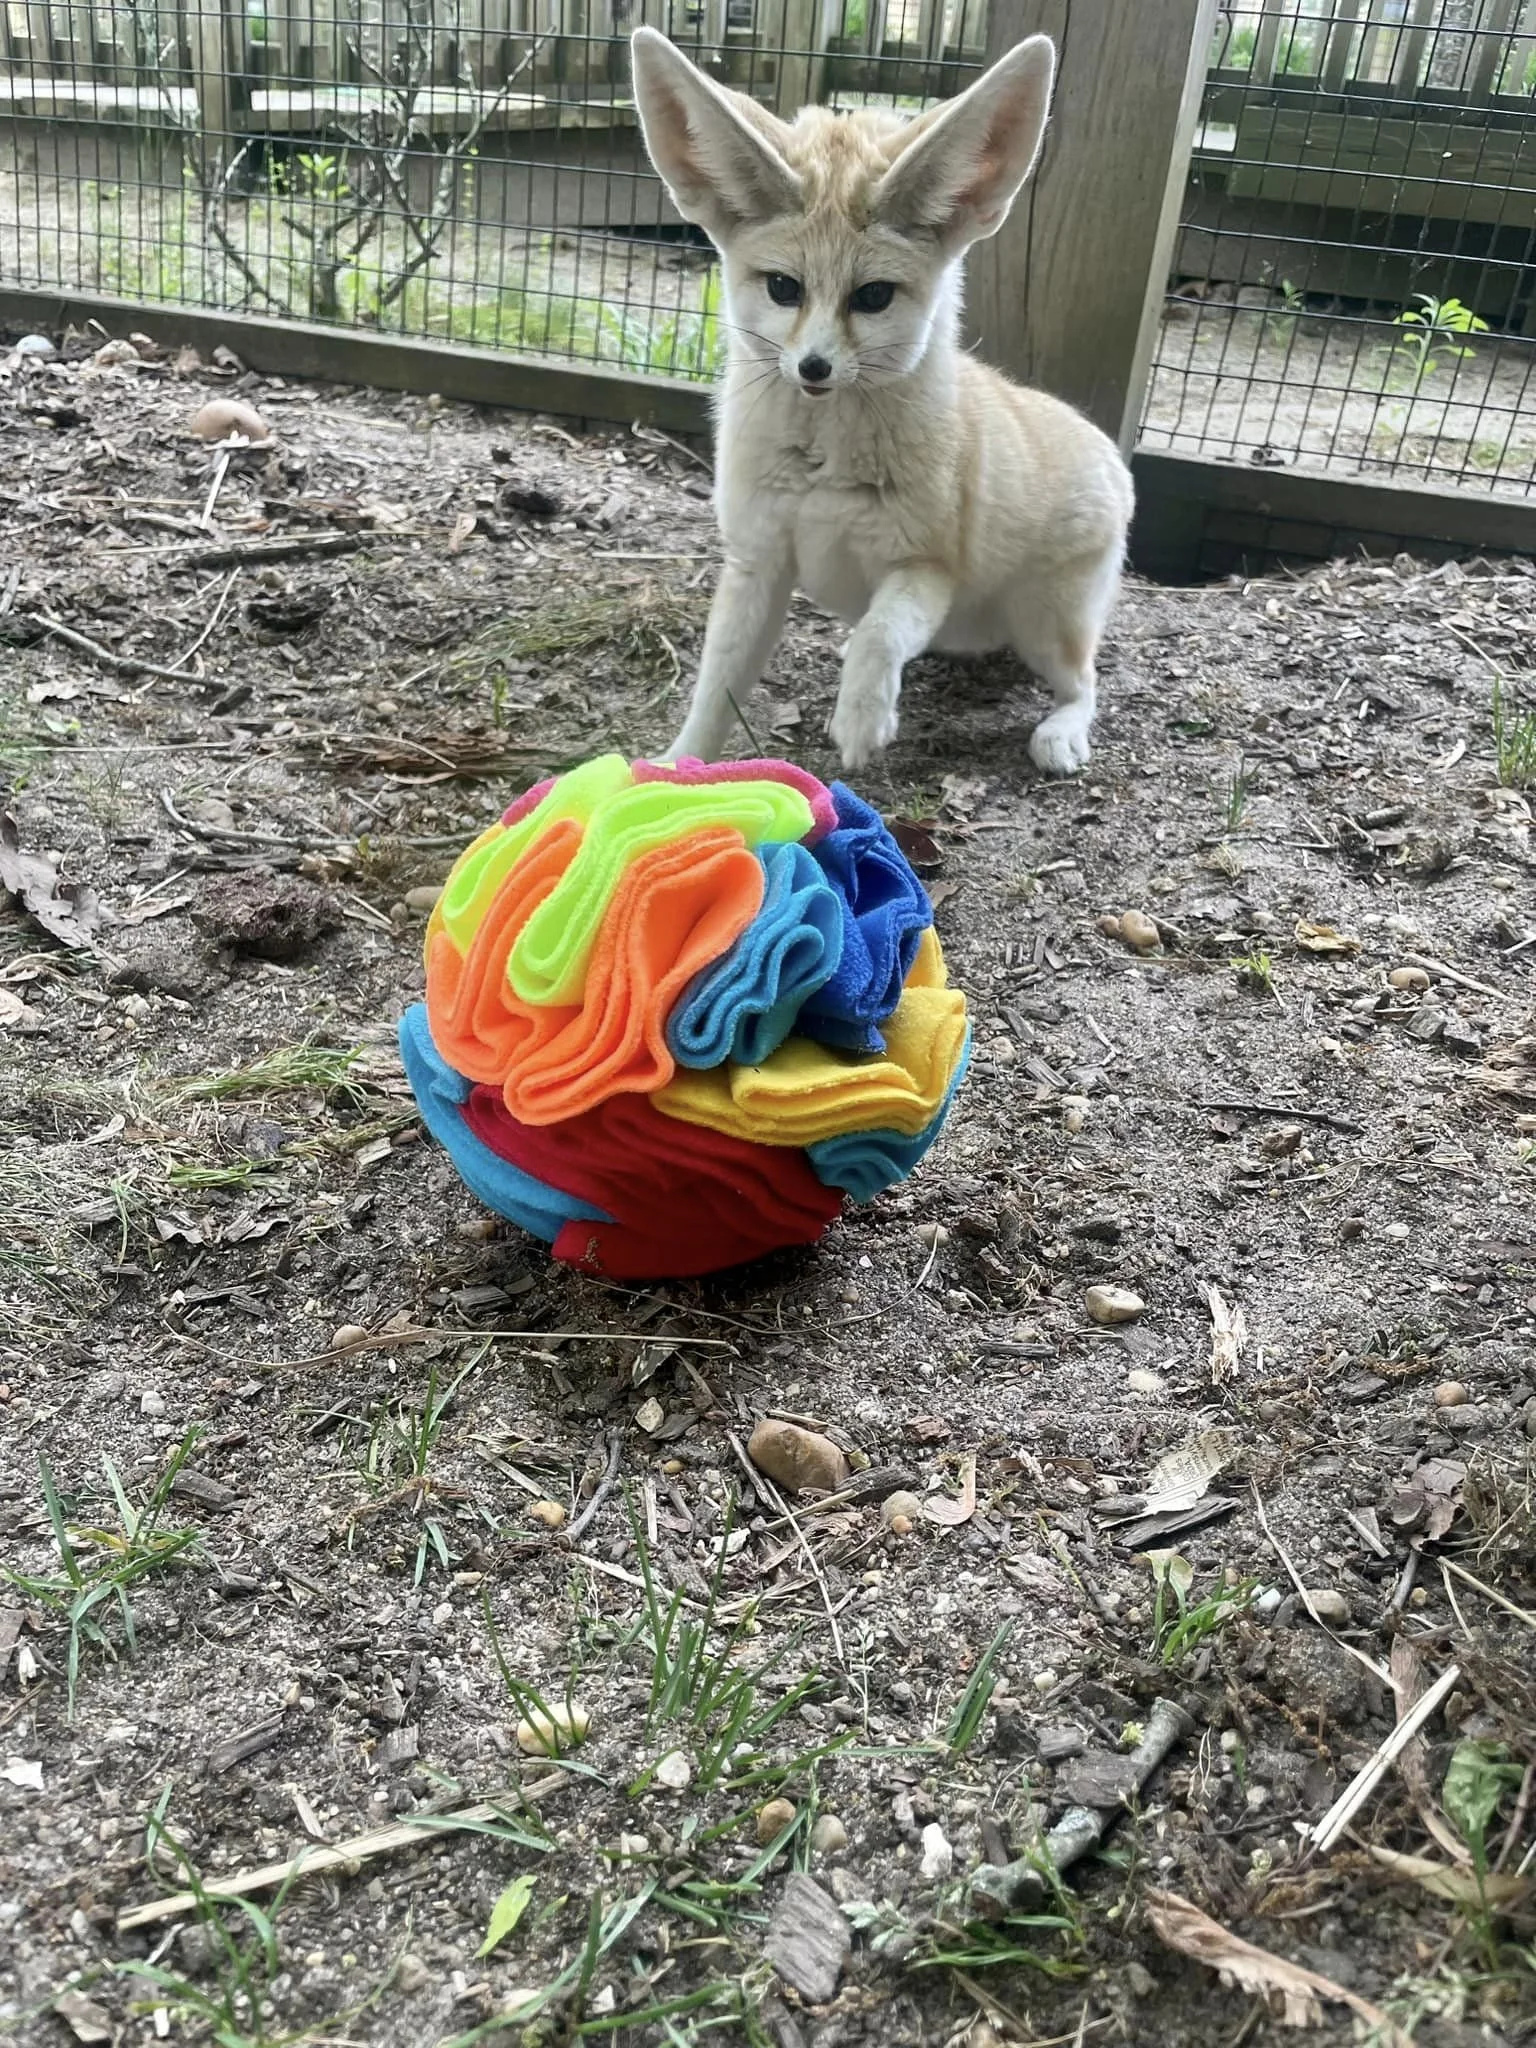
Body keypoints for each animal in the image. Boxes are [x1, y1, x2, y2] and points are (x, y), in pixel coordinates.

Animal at [628, 24, 1134, 778]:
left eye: (871, 297)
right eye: (784, 288)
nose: (813, 367)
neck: (819, 470)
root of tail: (1113, 457)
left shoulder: (925, 568)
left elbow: (881, 634)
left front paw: (862, 718)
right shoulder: (758, 564)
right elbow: (715, 689)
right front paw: (678, 765)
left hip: (1047, 625)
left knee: (1088, 683)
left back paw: (1062, 731)